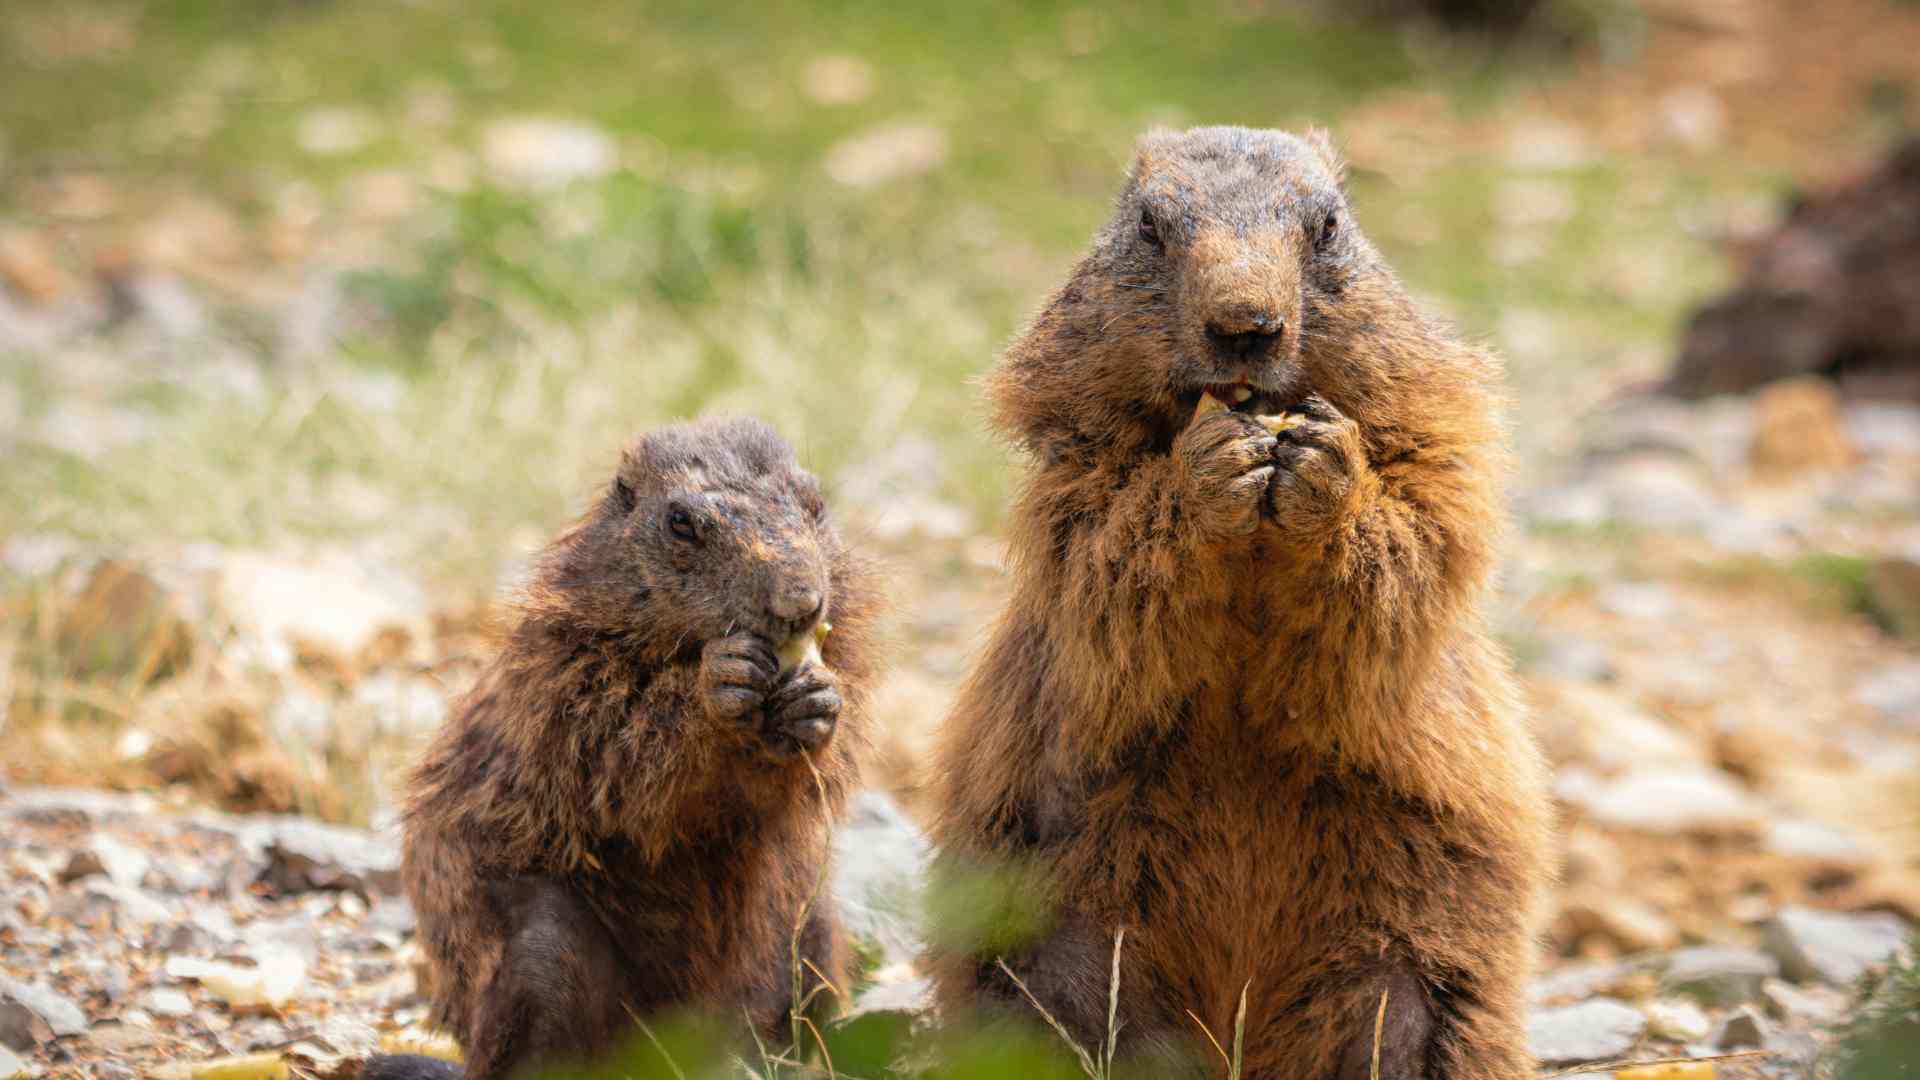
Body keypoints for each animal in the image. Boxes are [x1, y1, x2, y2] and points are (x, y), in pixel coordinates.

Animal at [364, 417, 881, 1080]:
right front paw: (717, 689)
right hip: (542, 950)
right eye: (680, 522)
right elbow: (610, 760)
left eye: (816, 502)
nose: (800, 602)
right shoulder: (560, 671)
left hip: (807, 917)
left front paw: (818, 700)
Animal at [924, 127, 1552, 1079]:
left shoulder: (1433, 417)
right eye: (1149, 225)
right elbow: (1095, 551)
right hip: (1046, 946)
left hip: (1423, 947)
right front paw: (1205, 473)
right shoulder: (1072, 451)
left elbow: (1425, 528)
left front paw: (1331, 475)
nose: (1246, 324)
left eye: (1327, 225)